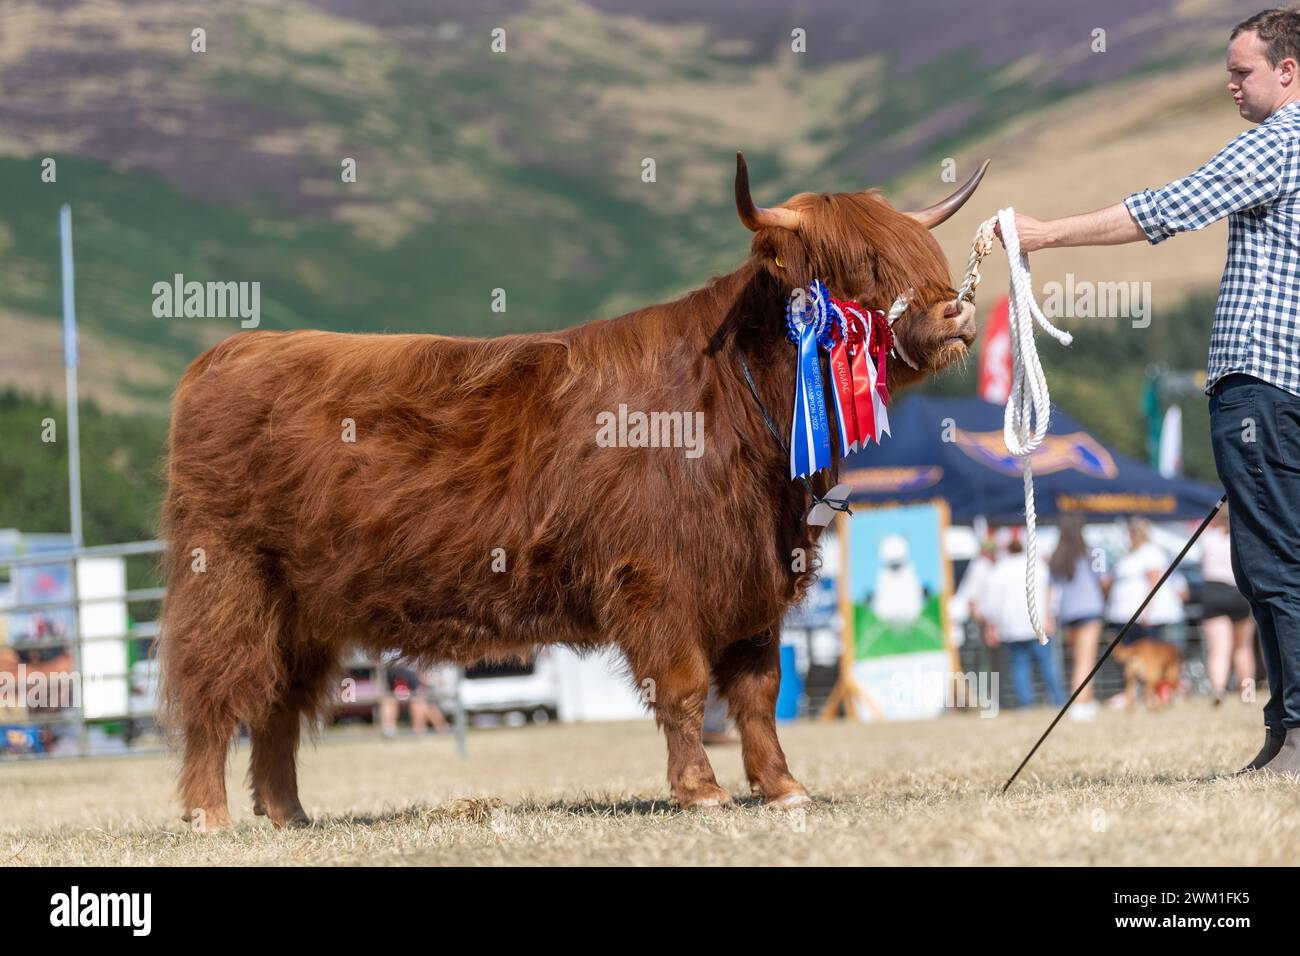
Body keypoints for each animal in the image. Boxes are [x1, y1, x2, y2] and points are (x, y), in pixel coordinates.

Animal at [159, 153, 987, 829]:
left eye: (920, 252)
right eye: (860, 265)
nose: (956, 310)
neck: (739, 405)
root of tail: (232, 352)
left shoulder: (752, 579)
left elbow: (757, 693)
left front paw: (783, 788)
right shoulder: (659, 582)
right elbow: (685, 688)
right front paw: (702, 791)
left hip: (302, 609)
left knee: (278, 705)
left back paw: (286, 811)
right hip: (229, 582)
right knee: (215, 694)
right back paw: (208, 813)